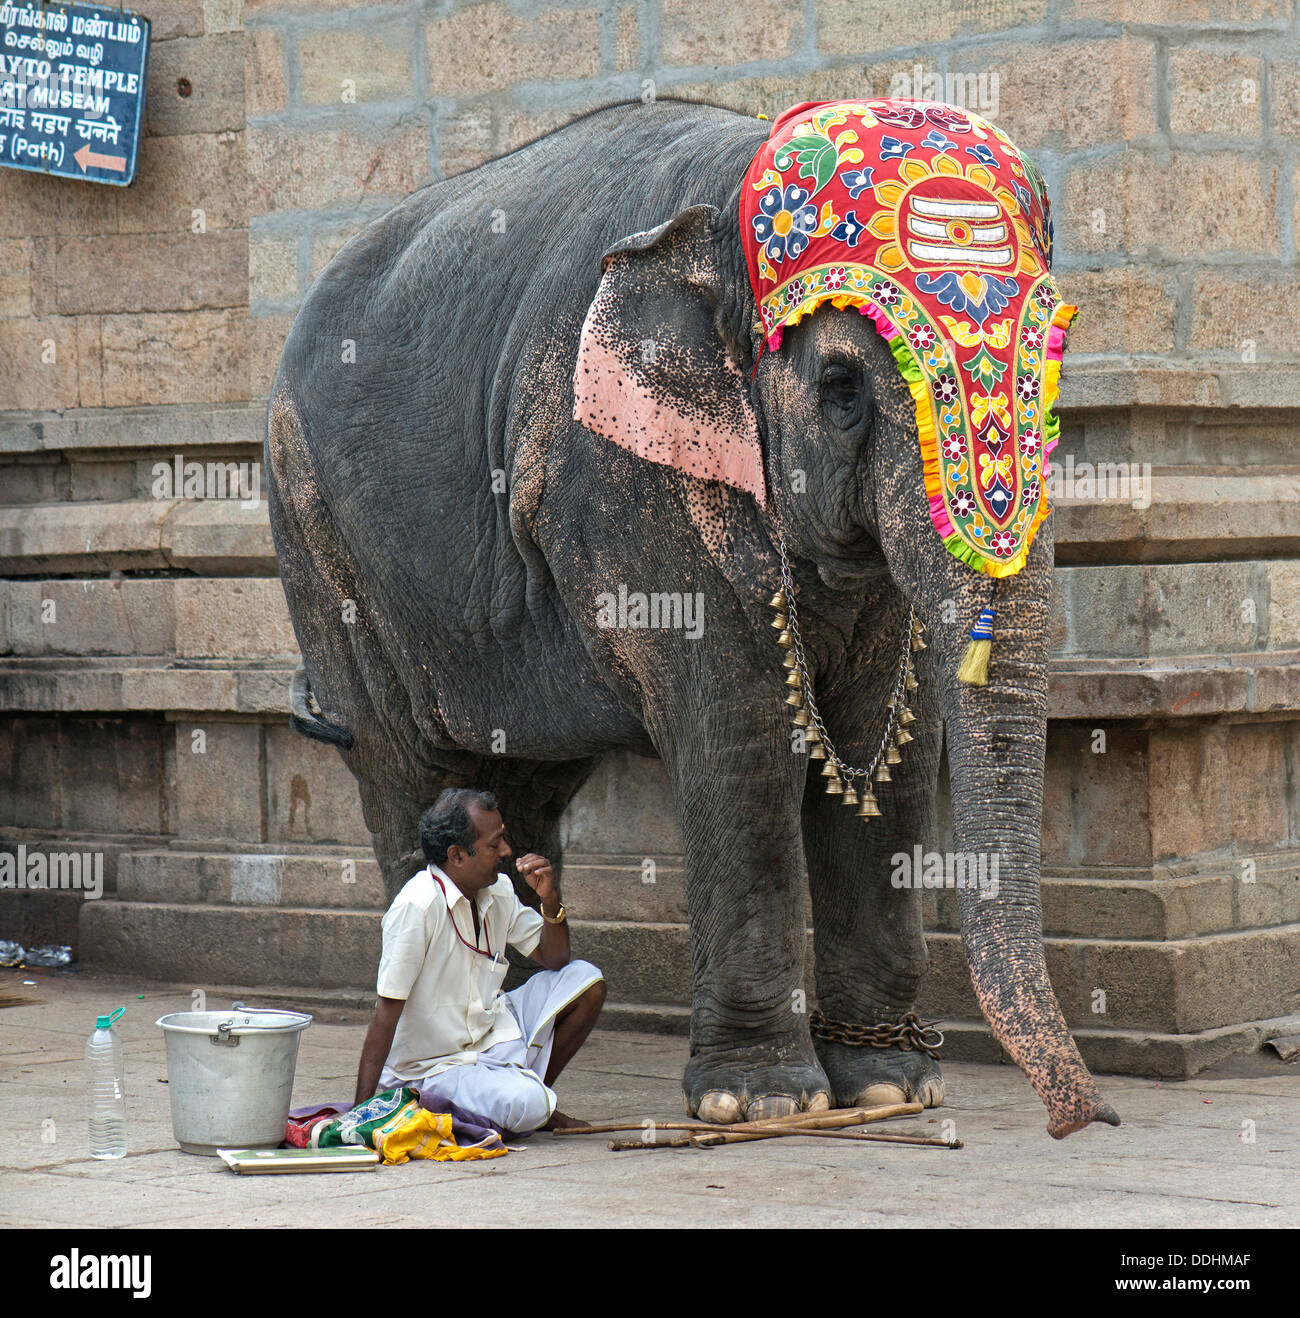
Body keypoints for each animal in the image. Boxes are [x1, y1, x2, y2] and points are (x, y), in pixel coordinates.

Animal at [265, 94, 1120, 1139]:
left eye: (1056, 365)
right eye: (842, 390)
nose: (1087, 1121)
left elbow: (894, 748)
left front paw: (890, 1088)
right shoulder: (628, 486)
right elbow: (737, 736)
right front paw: (760, 1103)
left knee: (521, 782)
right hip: (318, 539)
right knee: (406, 769)